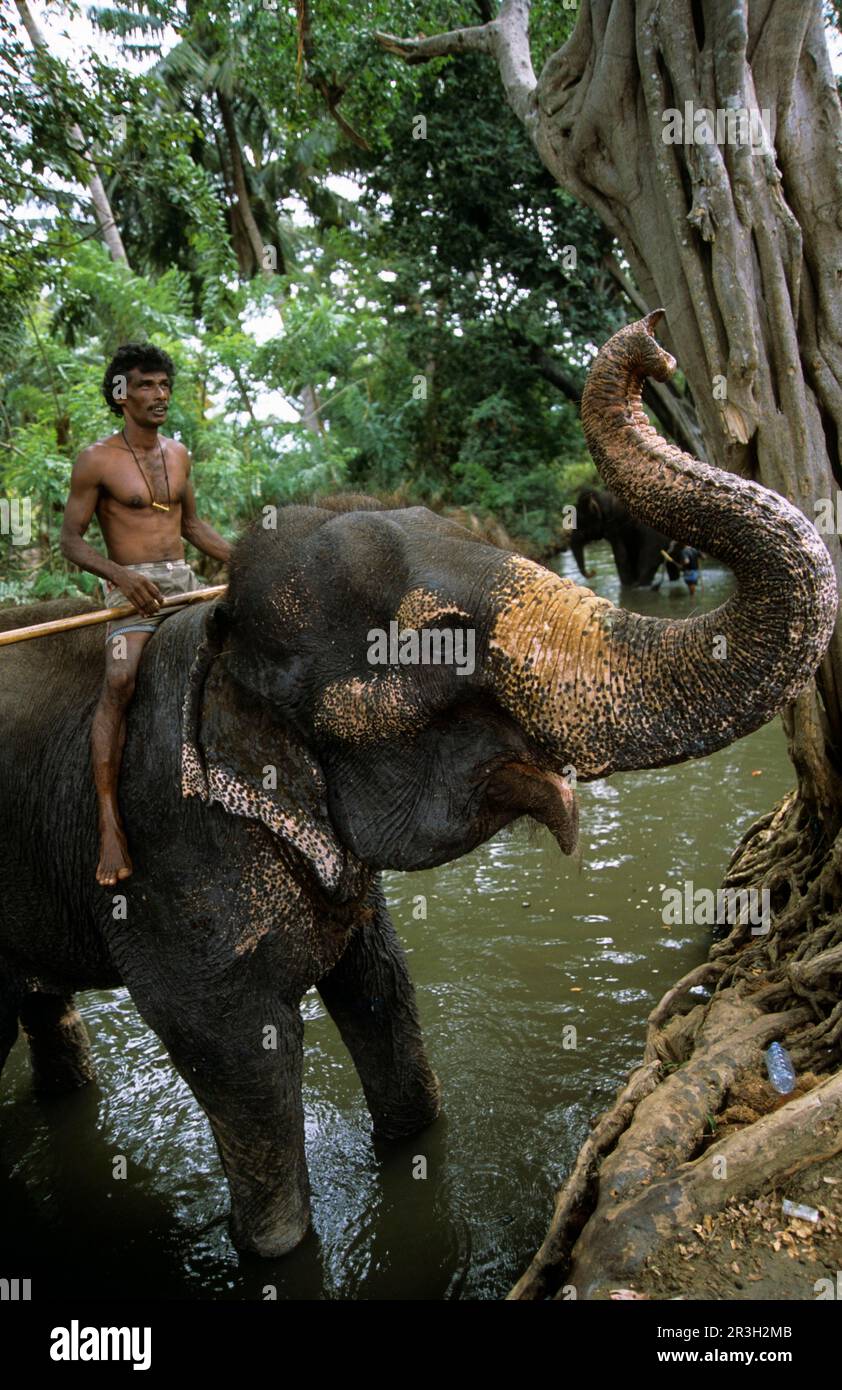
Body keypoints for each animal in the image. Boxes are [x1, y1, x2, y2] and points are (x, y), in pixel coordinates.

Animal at [0, 313, 836, 1259]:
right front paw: (276, 1249)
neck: (218, 637)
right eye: (442, 635)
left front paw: (413, 1144)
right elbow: (233, 1049)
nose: (656, 343)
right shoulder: (171, 858)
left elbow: (383, 992)